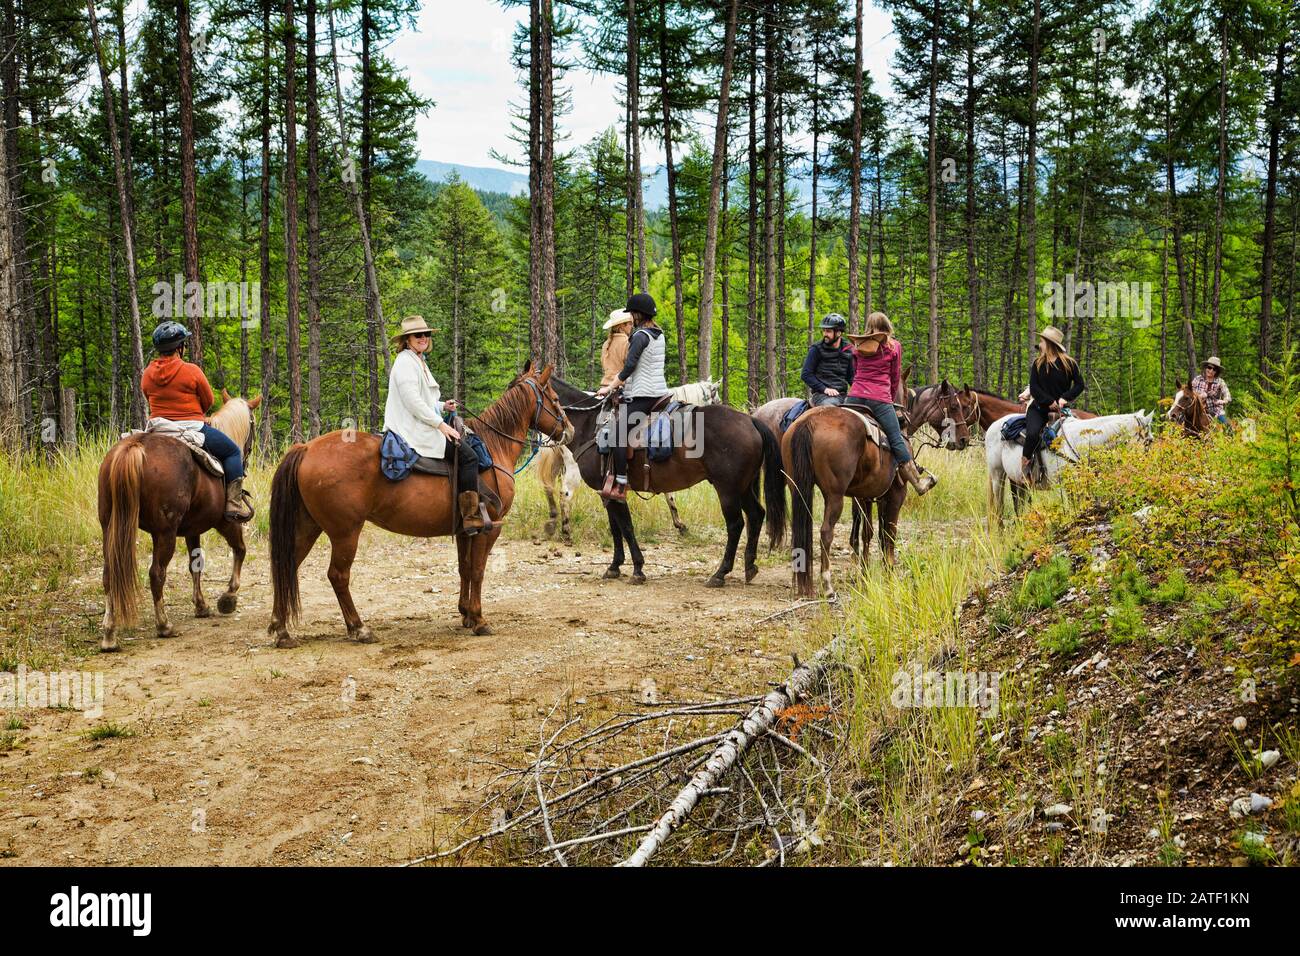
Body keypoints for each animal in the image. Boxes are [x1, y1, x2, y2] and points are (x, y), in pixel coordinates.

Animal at [98, 391, 261, 652]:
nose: (247, 453)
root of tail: (135, 447)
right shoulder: (227, 521)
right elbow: (240, 550)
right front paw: (228, 598)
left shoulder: (192, 530)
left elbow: (195, 565)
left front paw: (201, 605)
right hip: (164, 533)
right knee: (156, 574)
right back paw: (164, 626)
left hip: (110, 527)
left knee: (109, 574)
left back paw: (109, 635)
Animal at [266, 362, 571, 645]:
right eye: (555, 398)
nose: (569, 429)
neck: (492, 447)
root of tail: (306, 448)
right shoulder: (489, 528)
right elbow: (478, 570)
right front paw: (479, 619)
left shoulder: (466, 529)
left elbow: (464, 568)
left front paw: (465, 614)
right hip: (345, 532)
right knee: (338, 575)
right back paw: (358, 628)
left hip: (308, 525)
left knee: (287, 565)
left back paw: (282, 630)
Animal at [536, 379, 719, 541]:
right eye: (715, 397)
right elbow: (670, 495)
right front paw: (680, 525)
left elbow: (669, 494)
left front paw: (679, 524)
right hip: (573, 468)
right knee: (565, 494)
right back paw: (566, 530)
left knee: (550, 489)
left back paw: (554, 523)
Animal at [779, 404, 909, 599]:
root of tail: (808, 422)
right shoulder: (896, 495)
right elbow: (888, 533)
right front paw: (888, 572)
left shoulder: (865, 497)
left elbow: (868, 532)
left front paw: (865, 573)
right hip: (835, 496)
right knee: (826, 533)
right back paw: (827, 585)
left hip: (796, 488)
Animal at [985, 408, 1154, 529]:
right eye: (1149, 441)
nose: (1146, 470)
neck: (1079, 441)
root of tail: (994, 426)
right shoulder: (1065, 485)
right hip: (997, 475)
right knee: (999, 506)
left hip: (1018, 481)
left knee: (1019, 504)